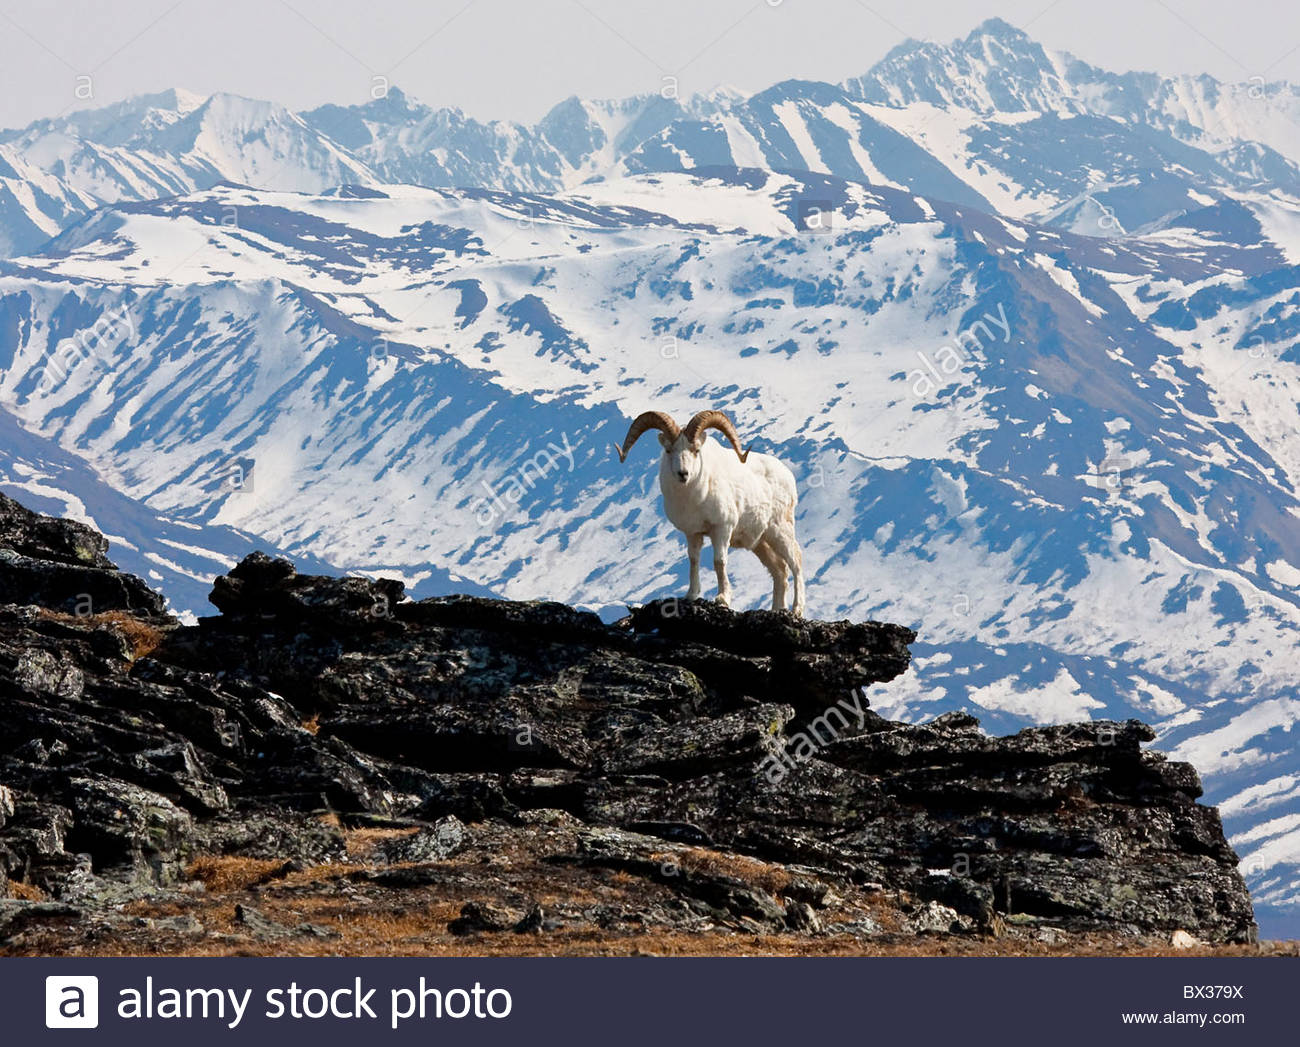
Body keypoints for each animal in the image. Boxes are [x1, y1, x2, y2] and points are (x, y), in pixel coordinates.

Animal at [614, 409, 805, 616]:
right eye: (668, 450)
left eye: (696, 450)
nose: (683, 474)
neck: (694, 498)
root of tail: (788, 475)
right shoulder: (693, 533)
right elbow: (693, 560)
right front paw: (691, 595)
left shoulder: (721, 529)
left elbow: (719, 562)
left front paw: (723, 599)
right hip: (760, 542)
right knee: (780, 570)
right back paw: (777, 610)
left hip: (780, 531)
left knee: (795, 562)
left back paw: (797, 609)